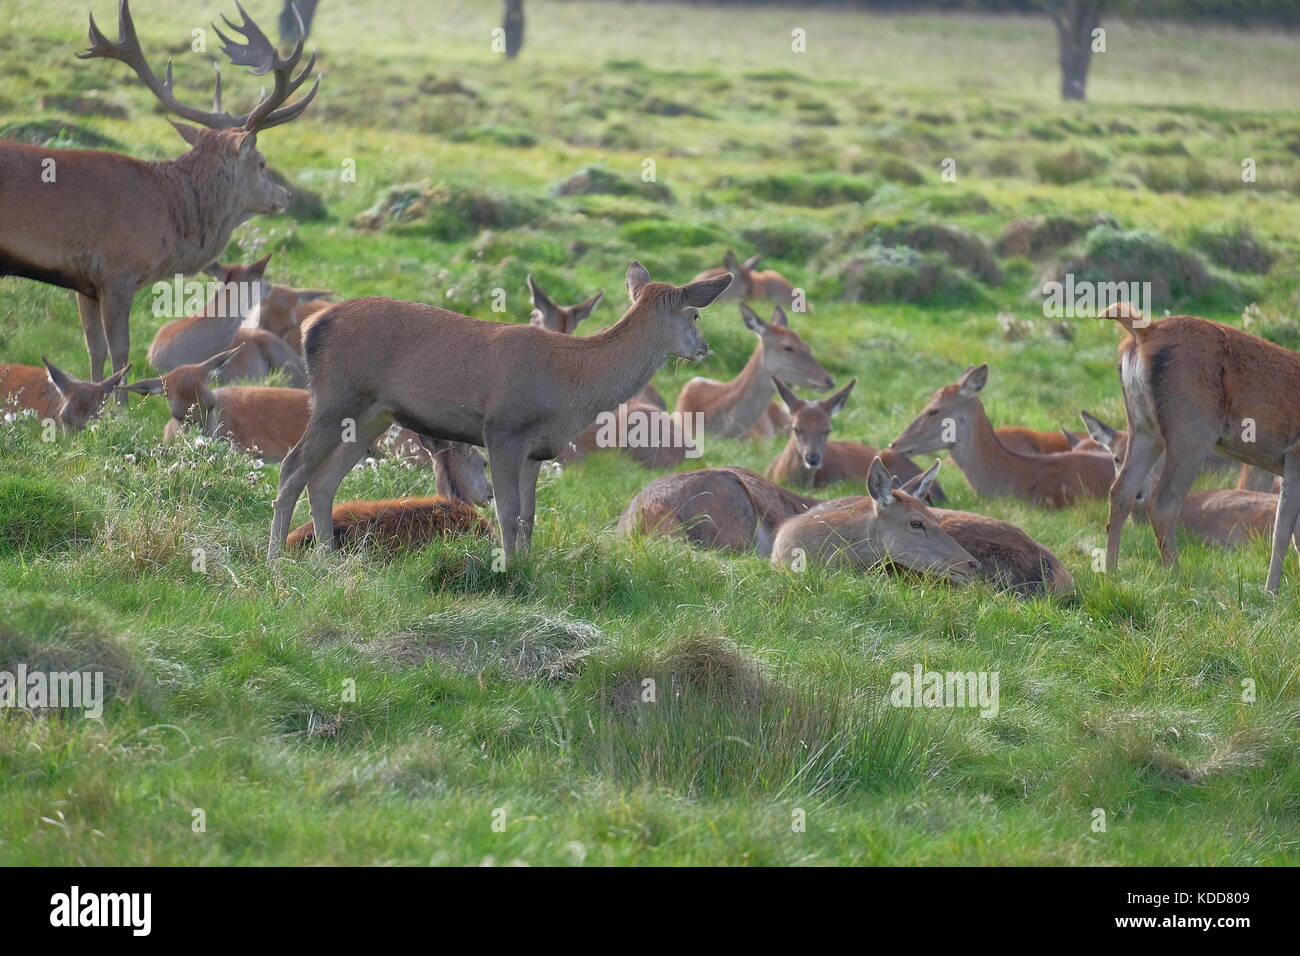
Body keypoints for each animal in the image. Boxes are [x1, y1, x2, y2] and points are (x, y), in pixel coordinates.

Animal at [1097, 301, 1300, 590]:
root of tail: (1146, 331)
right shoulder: (1295, 454)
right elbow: (1283, 531)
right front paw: (1270, 591)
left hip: (1144, 427)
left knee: (1120, 492)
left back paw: (1111, 574)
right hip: (1192, 428)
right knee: (1162, 503)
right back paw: (1177, 578)